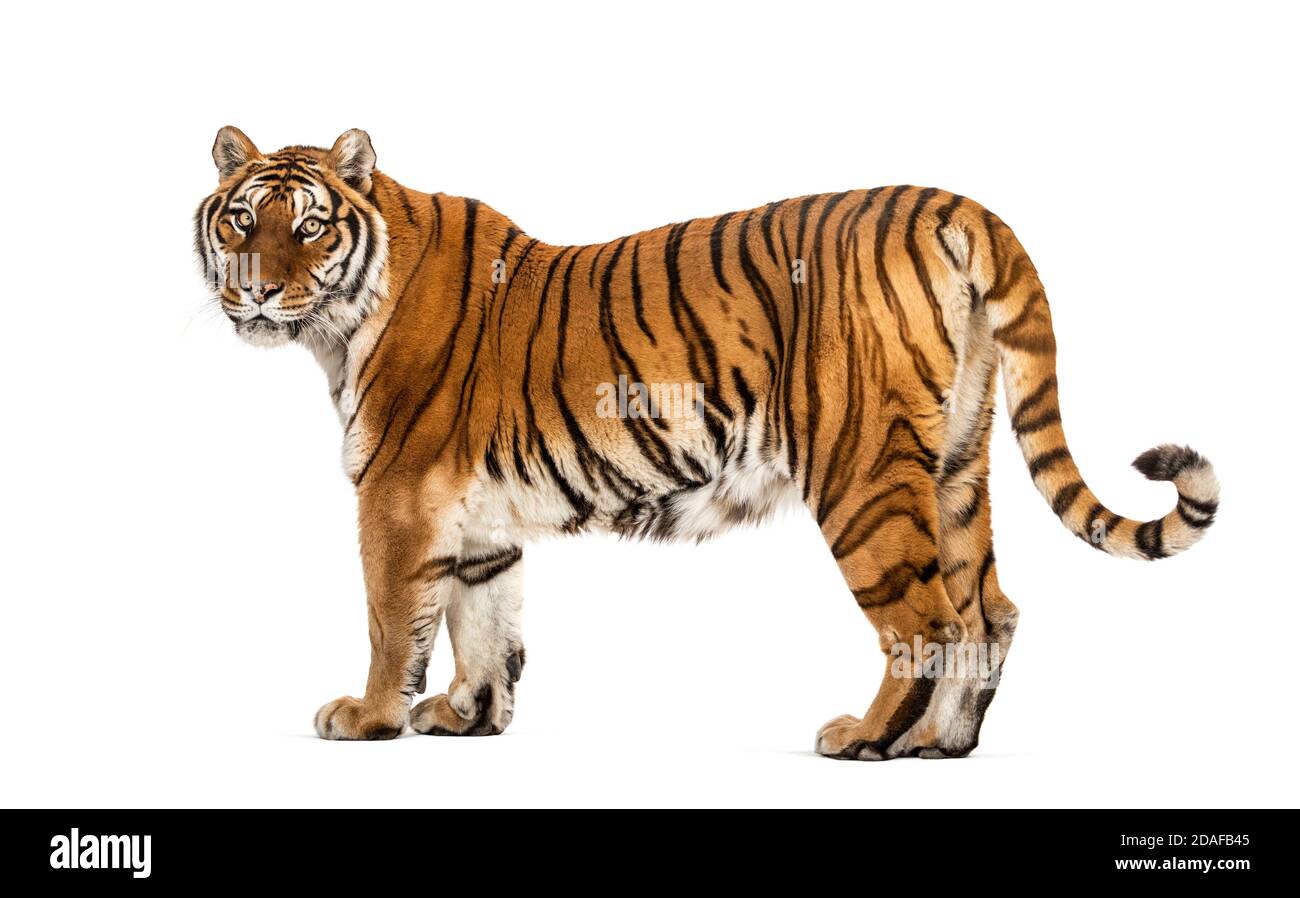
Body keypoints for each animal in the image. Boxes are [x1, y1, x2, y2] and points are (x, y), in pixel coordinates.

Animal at [194, 126, 1219, 759]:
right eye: (240, 219)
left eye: (308, 227)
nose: (254, 288)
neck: (338, 326)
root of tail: (954, 205)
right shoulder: (476, 515)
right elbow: (483, 619)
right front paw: (469, 716)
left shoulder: (397, 494)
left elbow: (390, 618)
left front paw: (368, 716)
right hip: (958, 460)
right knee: (990, 612)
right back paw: (941, 745)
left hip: (862, 471)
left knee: (928, 621)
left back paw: (868, 739)